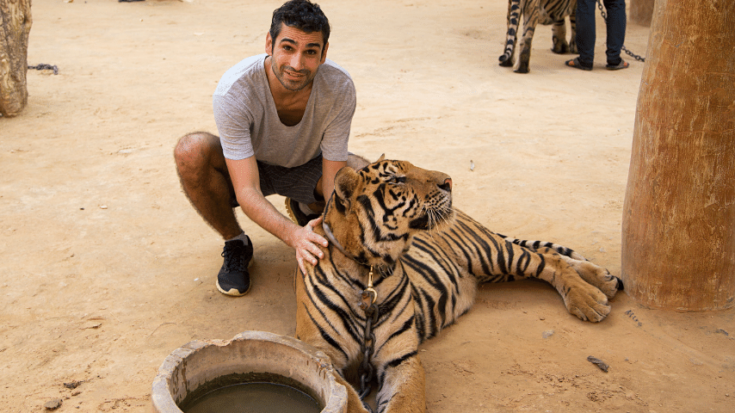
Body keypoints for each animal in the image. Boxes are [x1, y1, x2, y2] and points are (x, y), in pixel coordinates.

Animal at [294, 157, 621, 413]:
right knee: (551, 256)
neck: (369, 269)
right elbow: (350, 400)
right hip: (494, 267)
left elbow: (406, 403)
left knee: (549, 260)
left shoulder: (400, 357)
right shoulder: (323, 358)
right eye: (397, 178)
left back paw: (591, 298)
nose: (449, 181)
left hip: (491, 255)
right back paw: (604, 282)